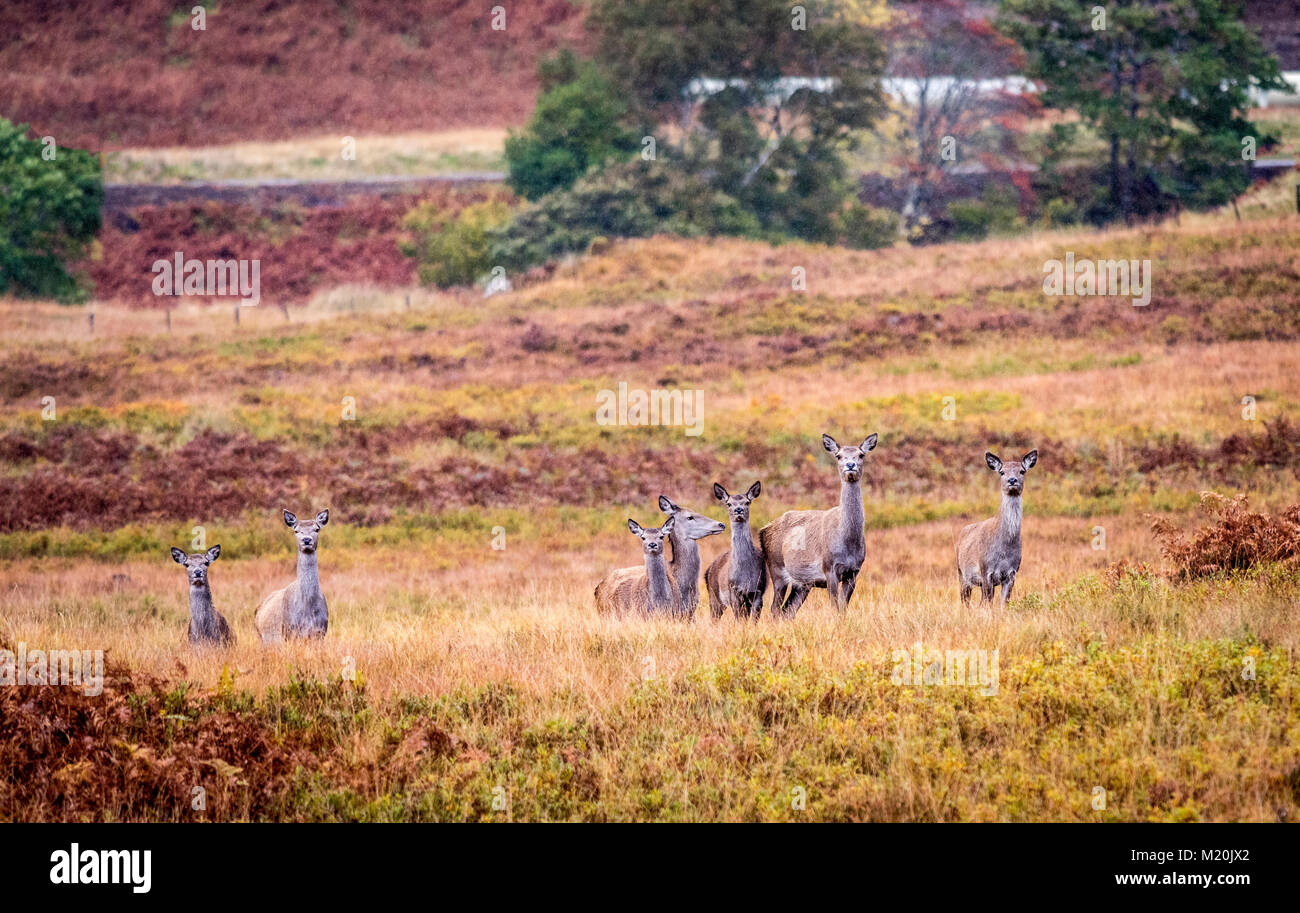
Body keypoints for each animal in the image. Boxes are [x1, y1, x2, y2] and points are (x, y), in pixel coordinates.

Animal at [255, 508, 330, 643]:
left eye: (317, 529)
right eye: (296, 530)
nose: (306, 540)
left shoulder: (320, 632)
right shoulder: (289, 632)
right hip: (262, 638)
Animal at [705, 481, 766, 620]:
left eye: (747, 502)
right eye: (729, 503)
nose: (738, 509)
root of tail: (708, 570)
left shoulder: (758, 591)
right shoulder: (733, 591)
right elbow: (739, 619)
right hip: (714, 596)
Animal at [760, 432, 878, 618]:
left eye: (861, 455)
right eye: (838, 456)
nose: (850, 465)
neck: (847, 542)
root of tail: (763, 530)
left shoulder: (854, 572)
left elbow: (843, 608)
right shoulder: (829, 568)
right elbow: (834, 607)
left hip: (802, 584)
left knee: (788, 610)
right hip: (777, 568)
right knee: (775, 608)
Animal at [956, 450, 1037, 609]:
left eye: (1022, 471)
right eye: (1002, 472)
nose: (1012, 480)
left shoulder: (1012, 573)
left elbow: (1003, 604)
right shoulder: (986, 570)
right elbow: (988, 603)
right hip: (961, 573)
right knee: (965, 600)